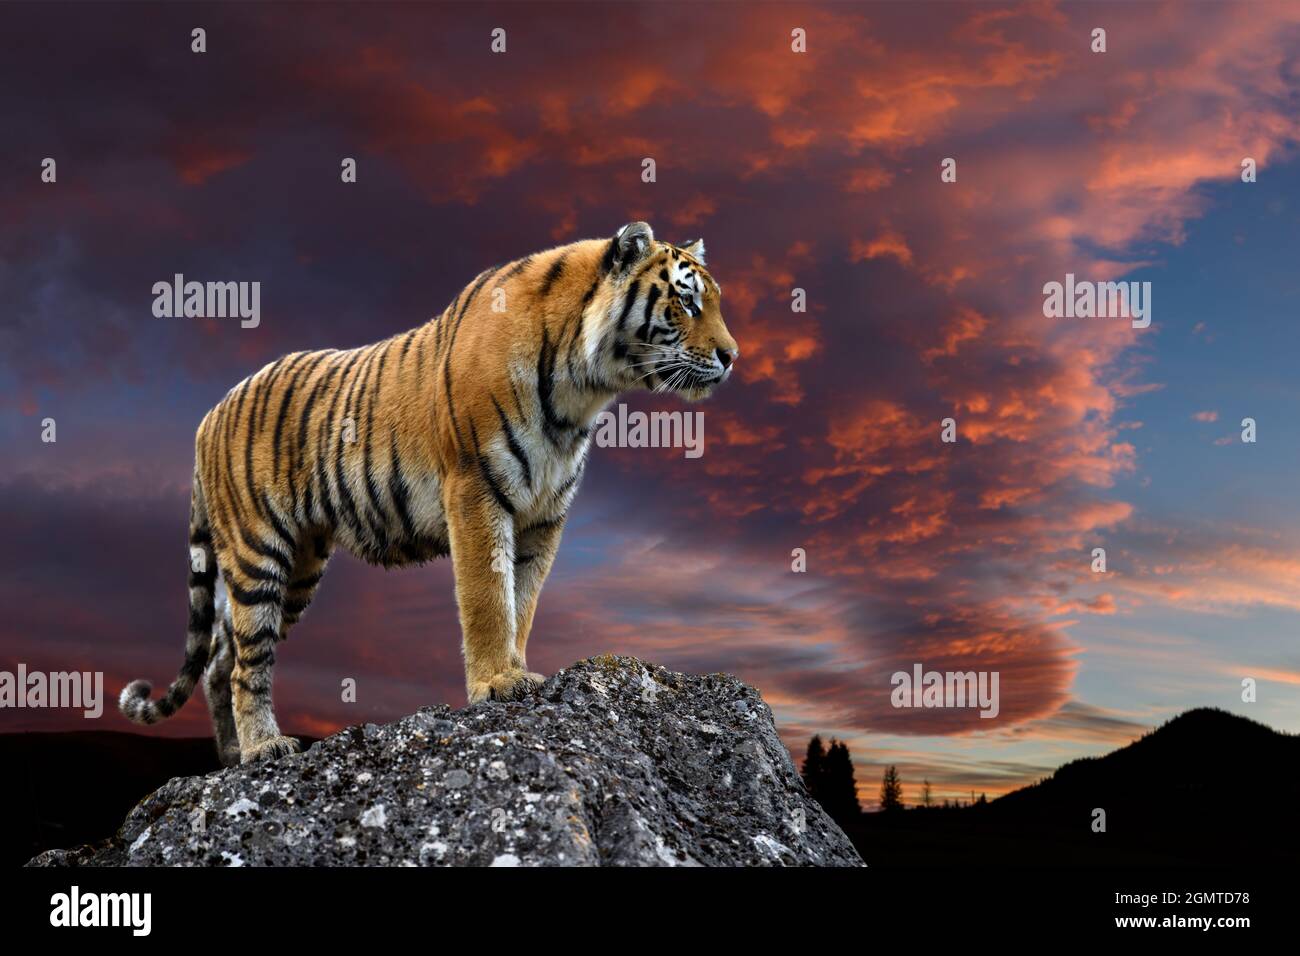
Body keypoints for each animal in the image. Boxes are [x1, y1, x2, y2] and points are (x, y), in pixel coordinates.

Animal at [119, 222, 739, 765]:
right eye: (686, 302)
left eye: (714, 303)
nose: (733, 357)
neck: (581, 392)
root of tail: (208, 415)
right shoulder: (476, 490)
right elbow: (488, 596)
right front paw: (498, 682)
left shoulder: (545, 516)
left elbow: (524, 600)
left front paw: (517, 669)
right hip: (258, 550)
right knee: (247, 663)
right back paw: (263, 749)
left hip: (299, 567)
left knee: (221, 659)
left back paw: (230, 761)